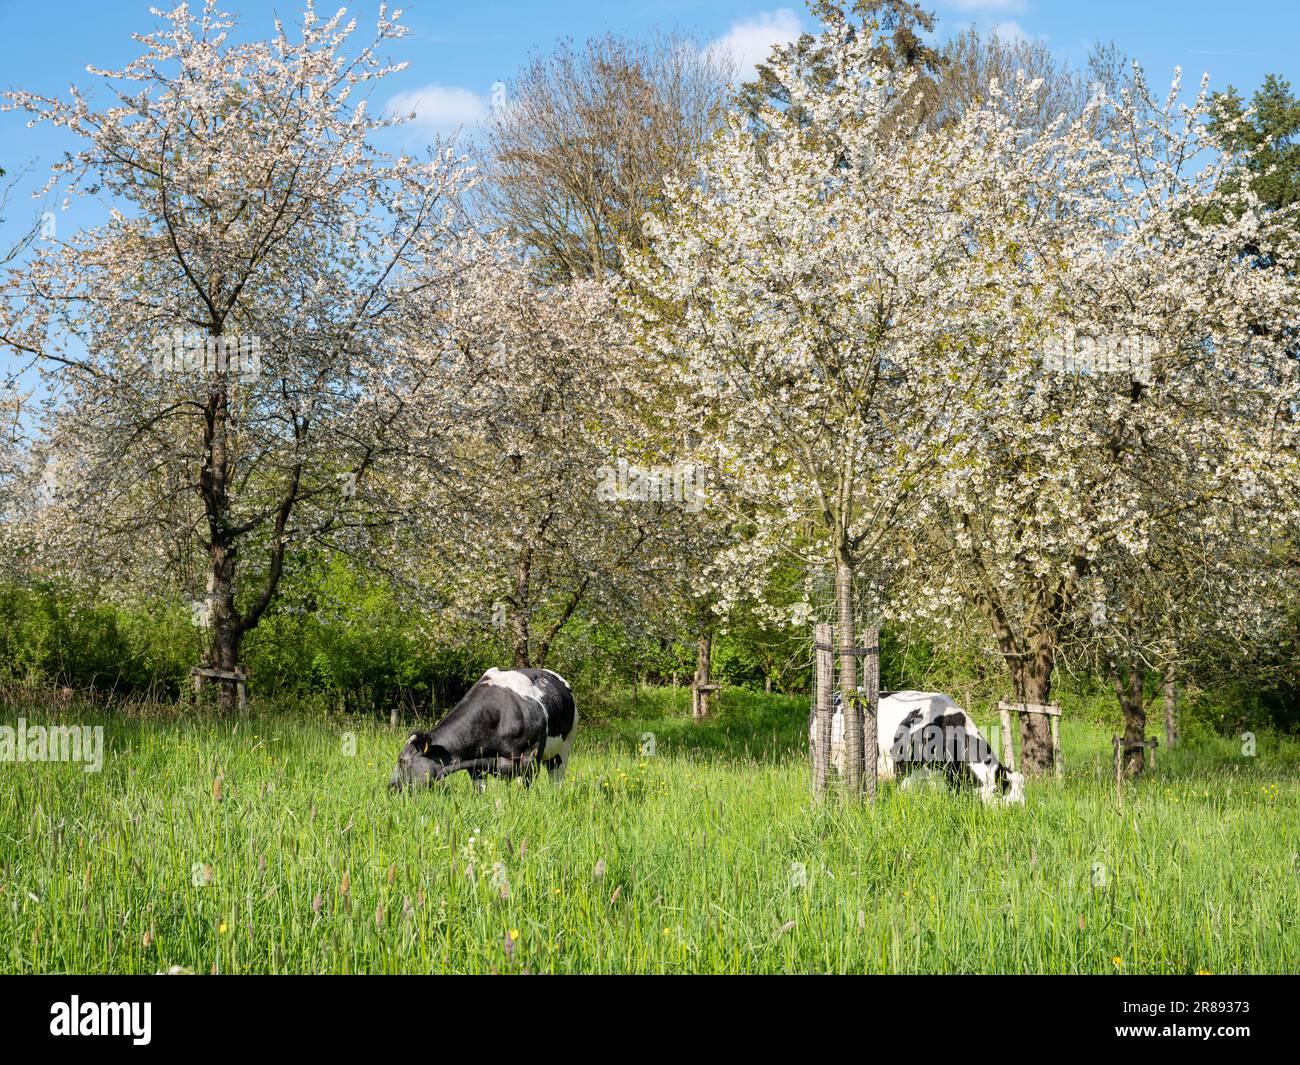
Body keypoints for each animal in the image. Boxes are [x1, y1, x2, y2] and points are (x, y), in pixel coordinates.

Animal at [389, 667, 576, 792]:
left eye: (402, 761)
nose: (390, 787)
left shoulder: (529, 758)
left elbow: (524, 789)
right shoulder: (474, 763)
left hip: (563, 750)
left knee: (556, 781)